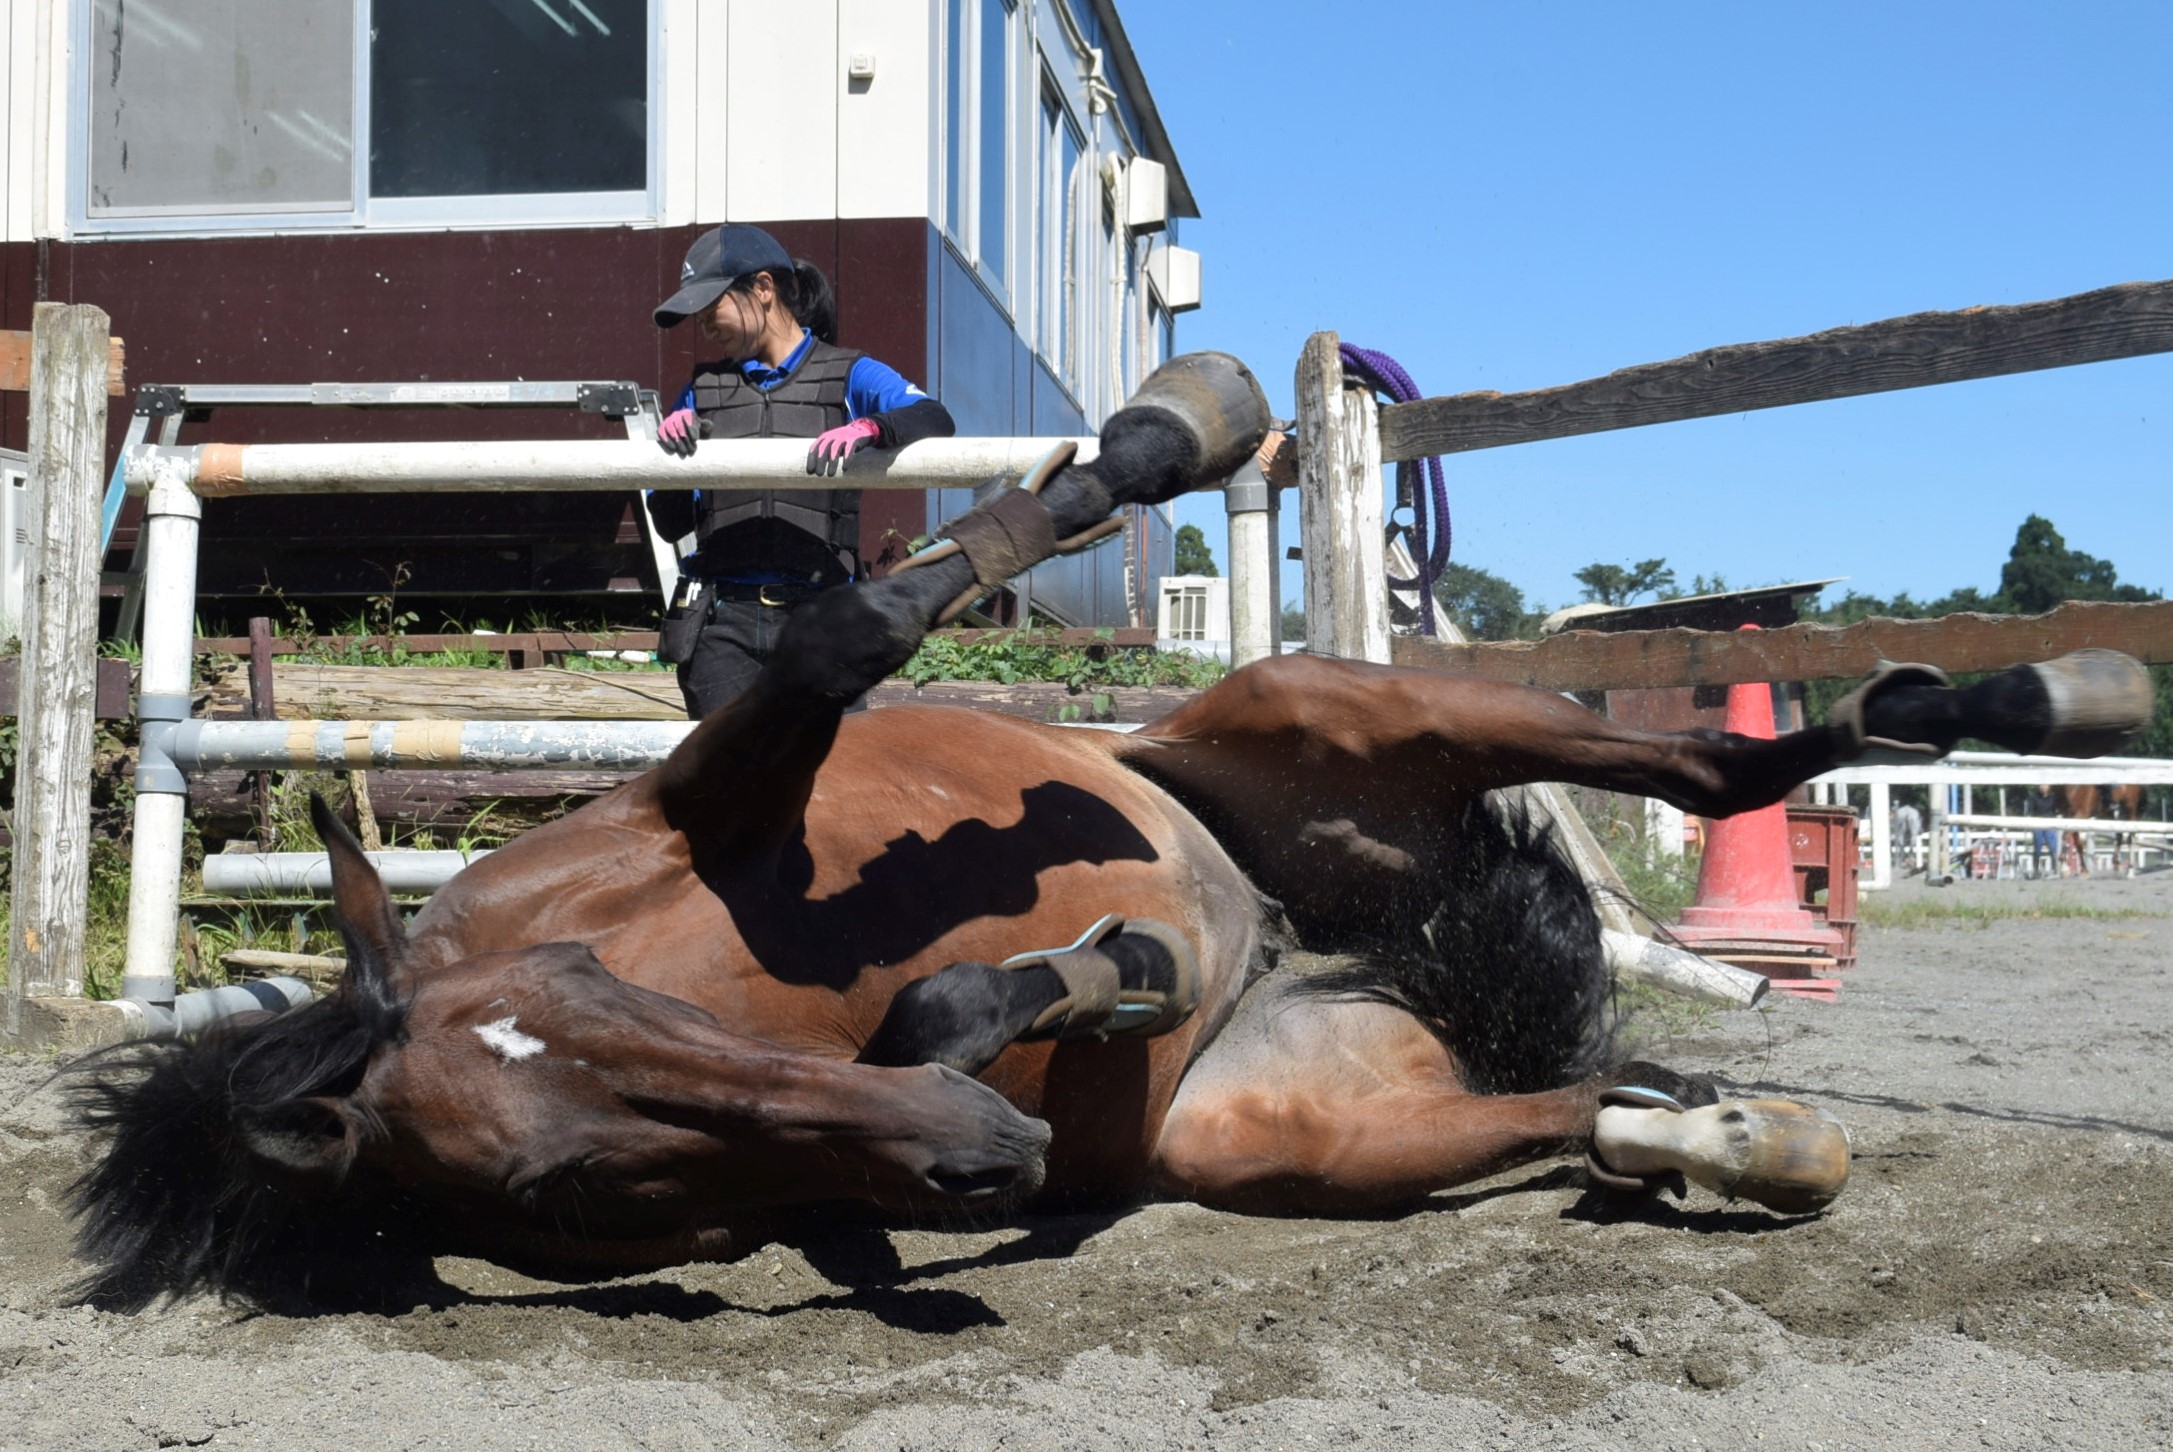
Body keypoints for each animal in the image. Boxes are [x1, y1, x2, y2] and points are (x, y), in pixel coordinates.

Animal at [68, 353, 2156, 1311]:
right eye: (565, 1186)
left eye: (594, 984)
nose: (980, 1153)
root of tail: (1372, 946)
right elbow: (967, 1009)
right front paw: (1050, 991)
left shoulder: (714, 788)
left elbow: (853, 624)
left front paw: (1158, 438)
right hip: (1297, 1133)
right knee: (1576, 1100)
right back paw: (1731, 1137)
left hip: (1317, 707)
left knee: (1719, 781)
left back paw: (2046, 698)